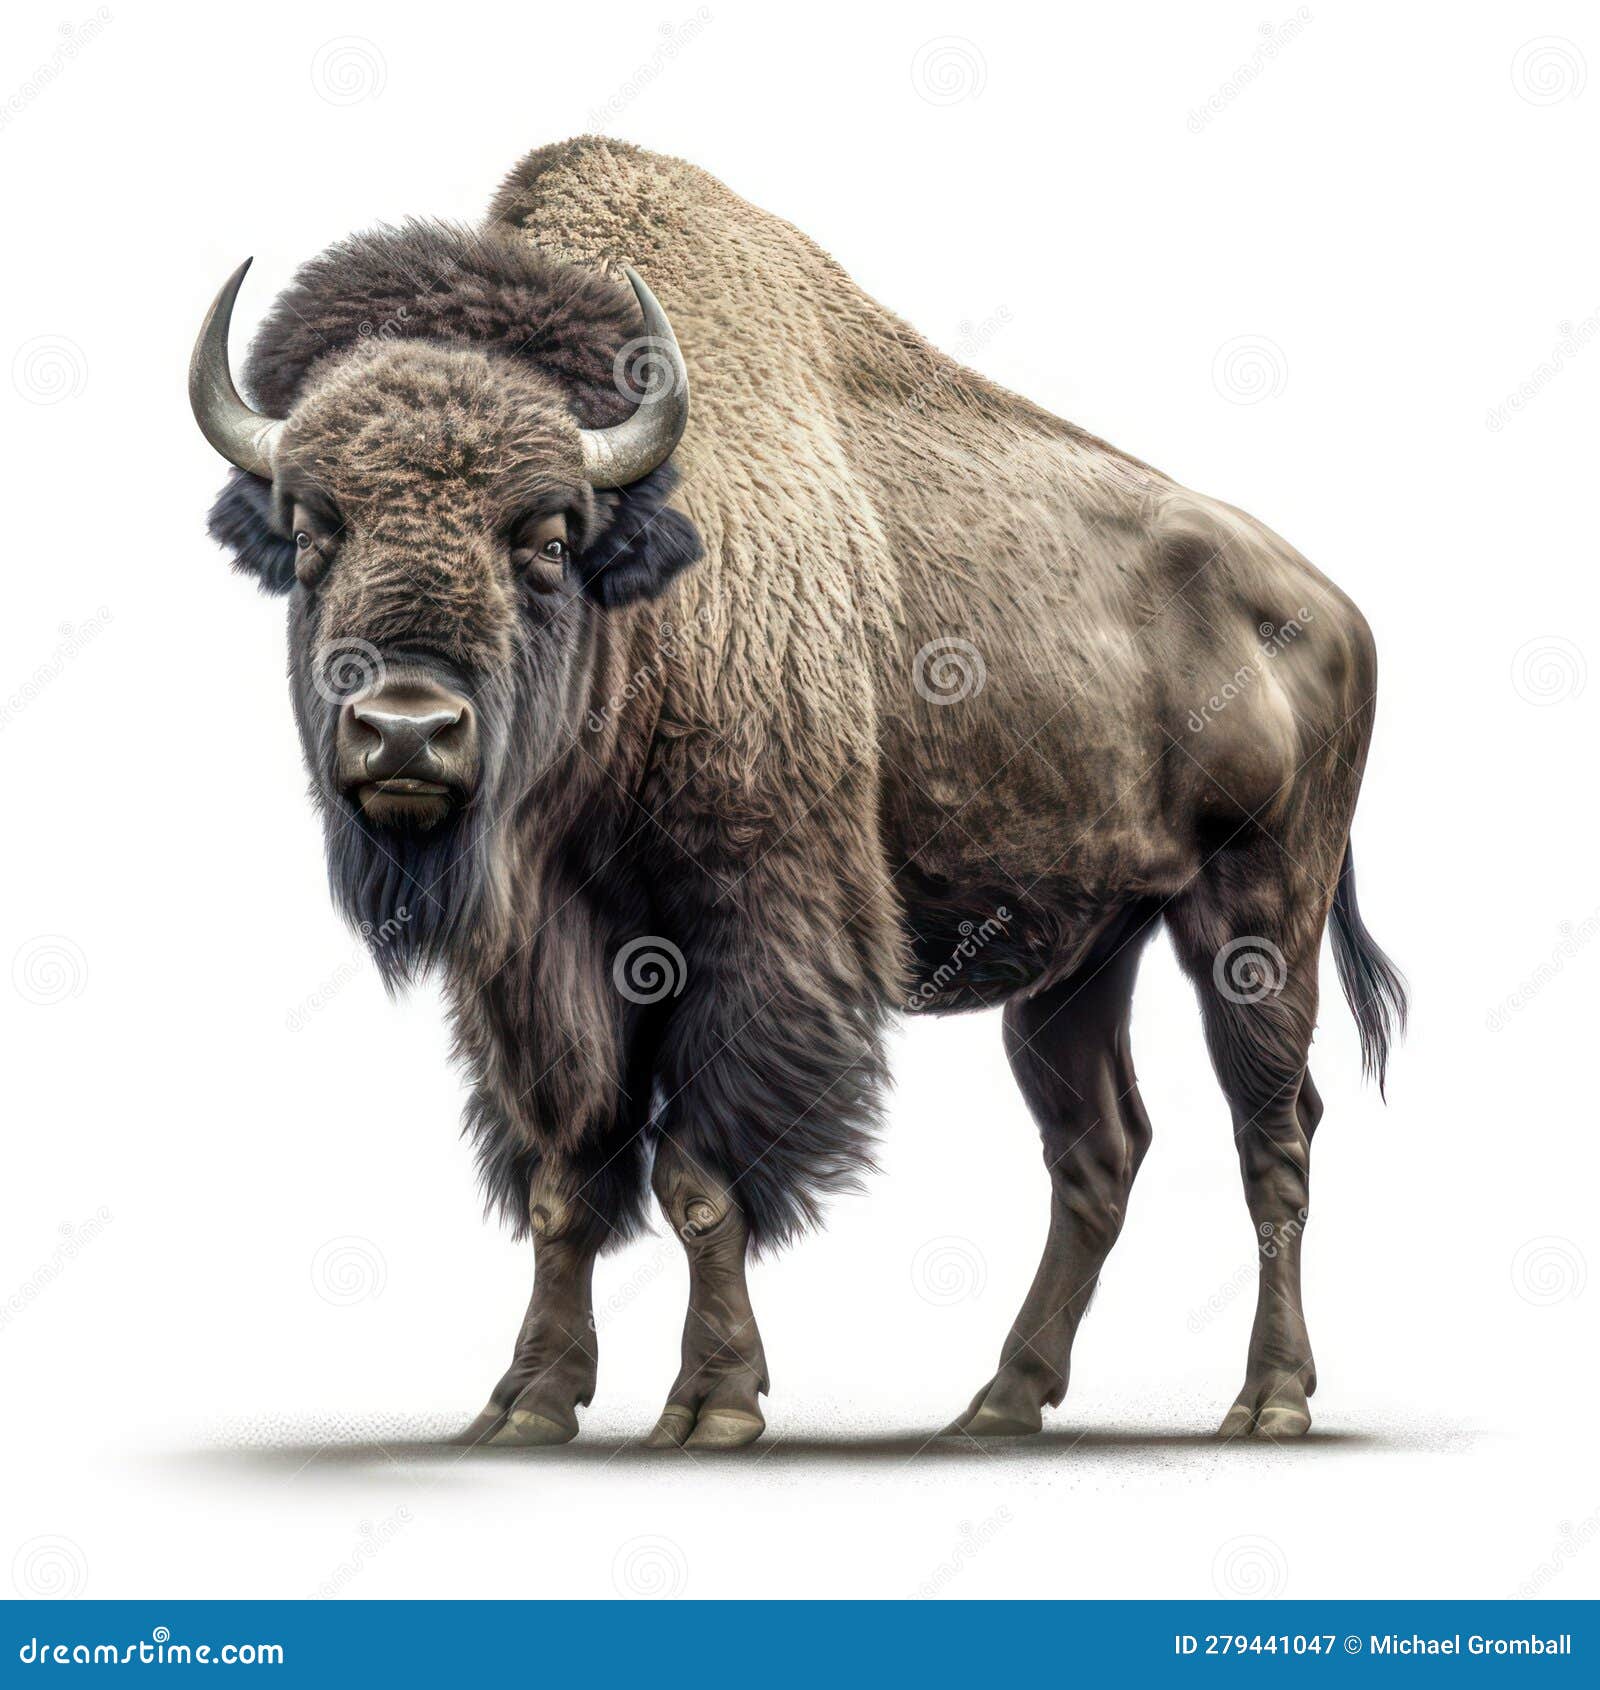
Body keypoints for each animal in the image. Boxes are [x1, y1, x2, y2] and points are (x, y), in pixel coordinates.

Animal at [192, 137, 1404, 1448]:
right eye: (314, 532)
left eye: (550, 538)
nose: (407, 732)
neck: (653, 583)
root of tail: (1326, 606)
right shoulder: (545, 964)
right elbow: (568, 1177)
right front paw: (525, 1403)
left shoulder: (756, 932)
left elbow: (698, 1176)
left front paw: (712, 1404)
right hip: (1080, 960)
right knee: (1100, 1148)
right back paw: (998, 1402)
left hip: (1254, 915)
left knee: (1272, 1133)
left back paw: (1267, 1400)